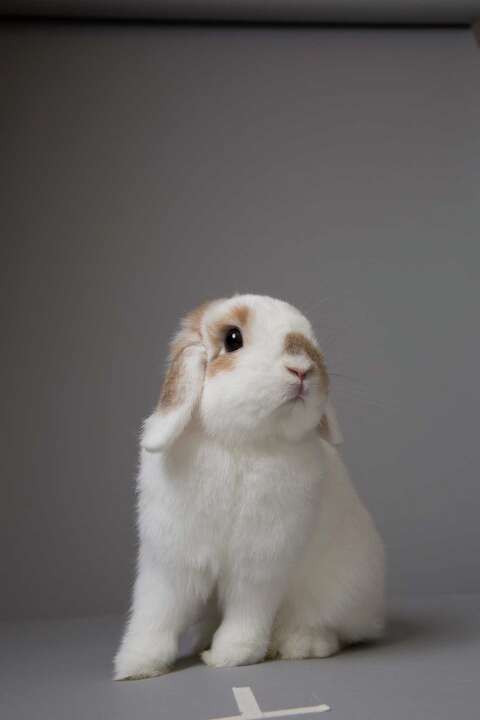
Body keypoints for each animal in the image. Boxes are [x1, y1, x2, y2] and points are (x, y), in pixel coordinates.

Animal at [114, 294, 385, 680]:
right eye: (233, 339)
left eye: (308, 335)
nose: (302, 369)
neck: (240, 444)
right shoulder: (170, 561)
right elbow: (157, 613)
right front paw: (135, 666)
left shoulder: (259, 567)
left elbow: (247, 616)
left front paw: (229, 656)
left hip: (340, 592)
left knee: (330, 628)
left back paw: (300, 645)